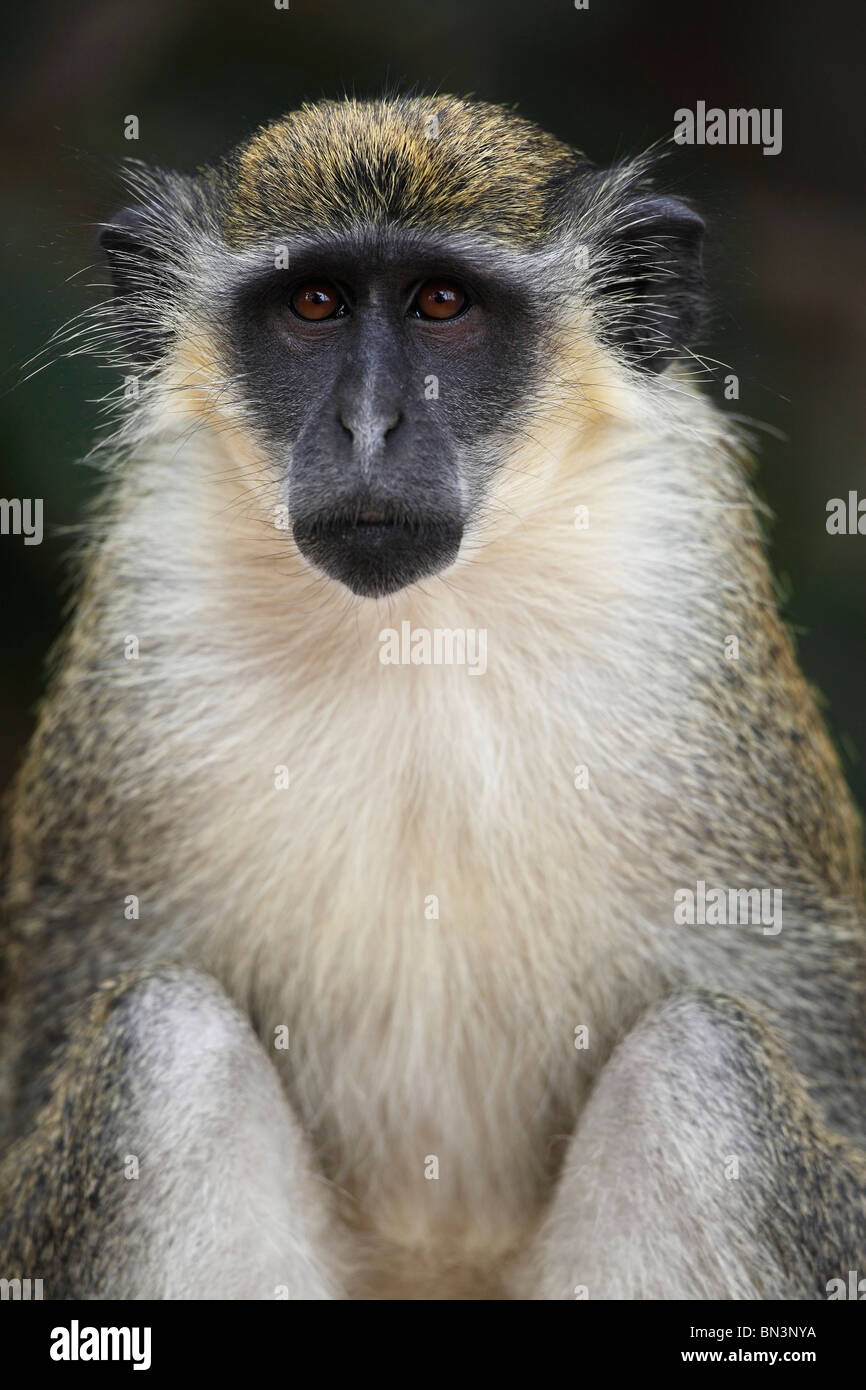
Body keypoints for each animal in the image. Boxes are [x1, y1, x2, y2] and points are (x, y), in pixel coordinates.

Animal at [1, 93, 866, 1302]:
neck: (418, 631)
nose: (369, 427)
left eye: (443, 304)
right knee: (165, 1043)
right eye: (313, 303)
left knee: (707, 1057)